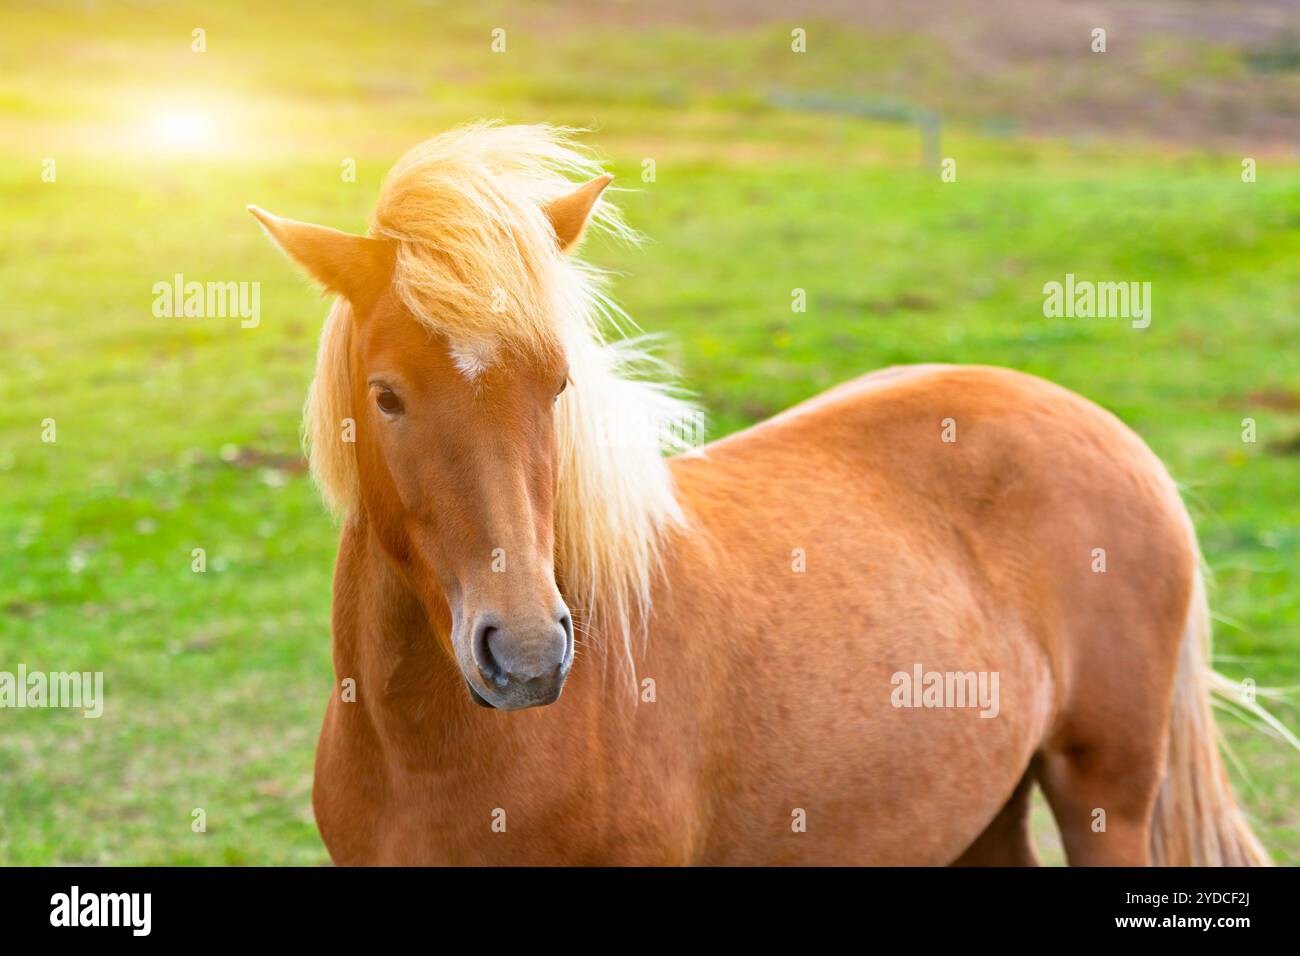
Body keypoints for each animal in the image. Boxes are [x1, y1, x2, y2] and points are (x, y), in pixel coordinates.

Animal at [249, 122, 1275, 865]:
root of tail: (1106, 431)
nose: (530, 654)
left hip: (1103, 792)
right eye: (387, 394)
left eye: (557, 384)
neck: (431, 753)